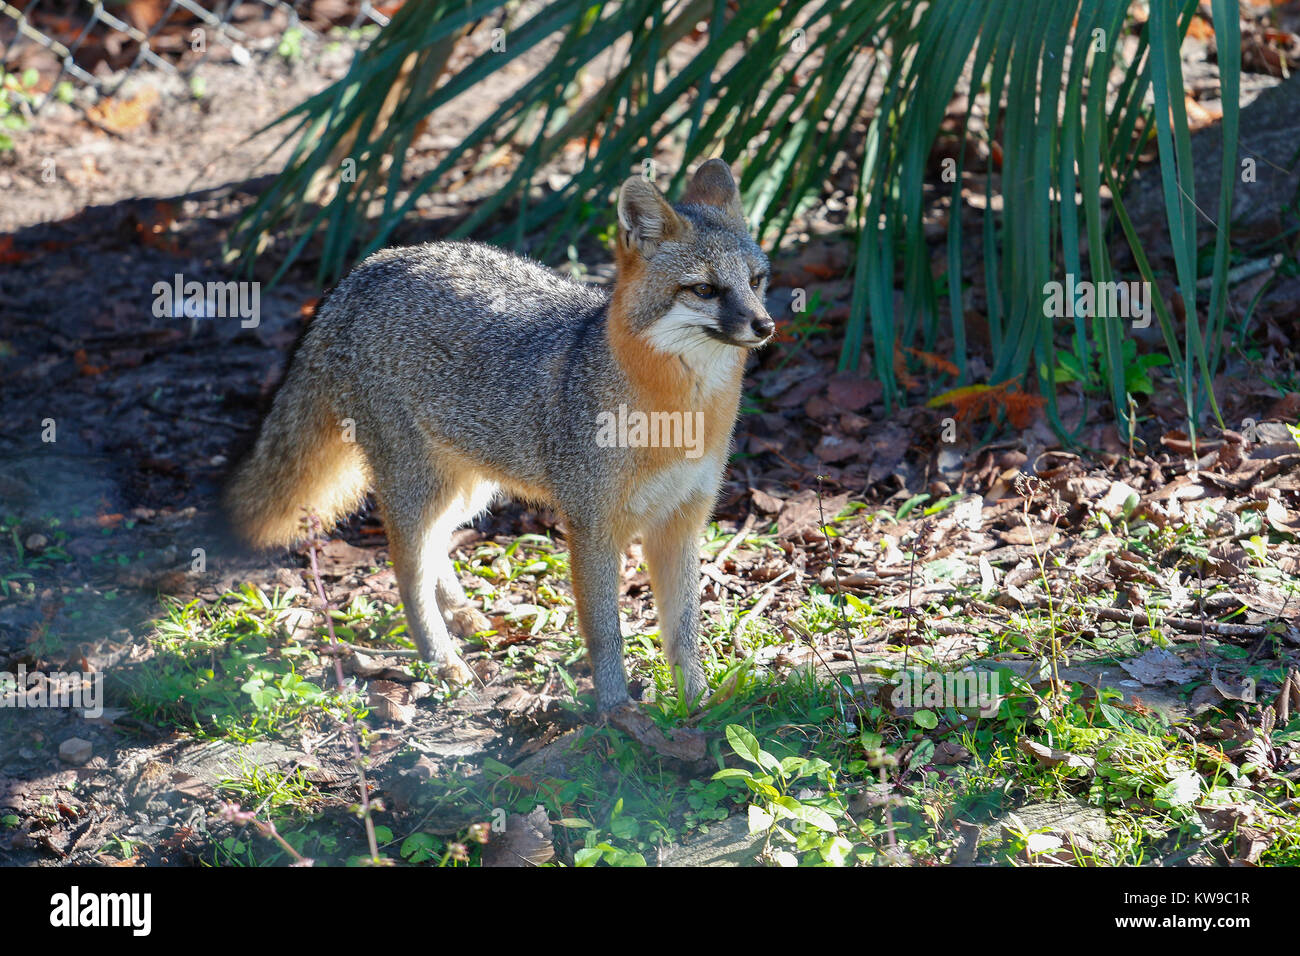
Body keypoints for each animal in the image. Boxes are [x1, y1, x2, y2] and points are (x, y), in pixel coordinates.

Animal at [225, 159, 773, 713]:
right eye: (704, 289)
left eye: (756, 281)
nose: (765, 325)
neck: (679, 417)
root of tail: (369, 268)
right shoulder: (592, 526)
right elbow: (606, 633)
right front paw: (616, 710)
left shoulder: (682, 521)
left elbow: (685, 630)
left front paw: (697, 704)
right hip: (423, 489)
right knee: (406, 569)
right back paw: (442, 659)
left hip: (469, 490)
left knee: (434, 545)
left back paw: (461, 614)